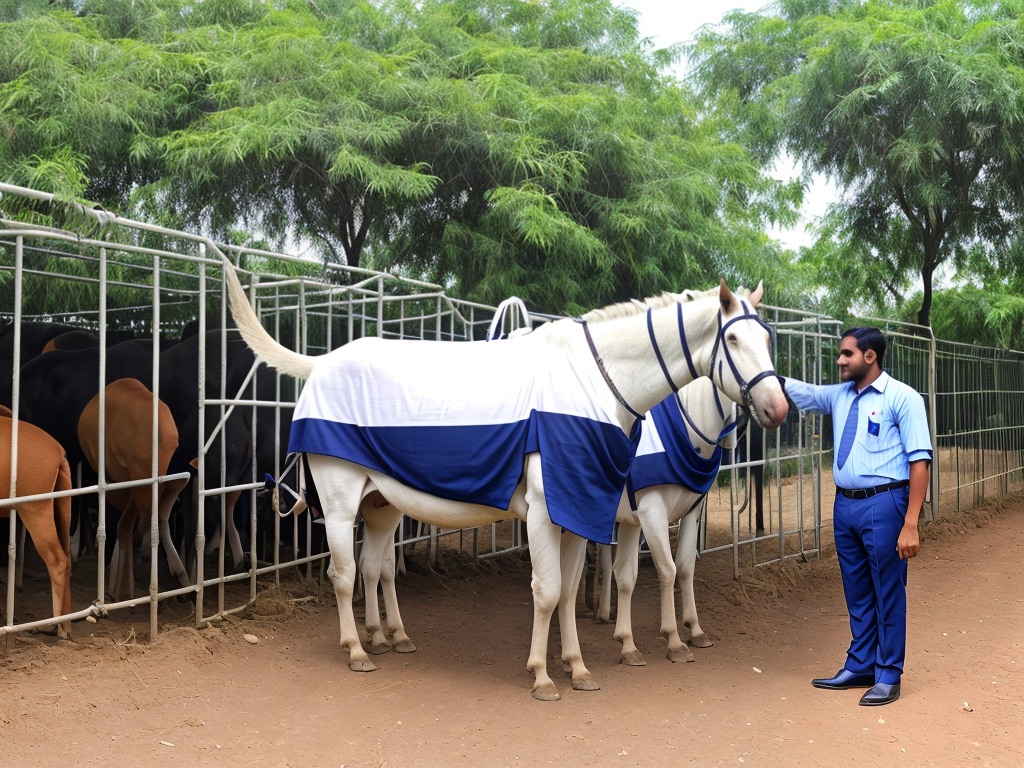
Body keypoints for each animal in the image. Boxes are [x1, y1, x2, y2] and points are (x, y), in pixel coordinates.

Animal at [593, 376, 745, 663]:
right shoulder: (652, 514)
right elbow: (667, 570)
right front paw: (674, 641)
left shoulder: (690, 512)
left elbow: (683, 567)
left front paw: (695, 630)